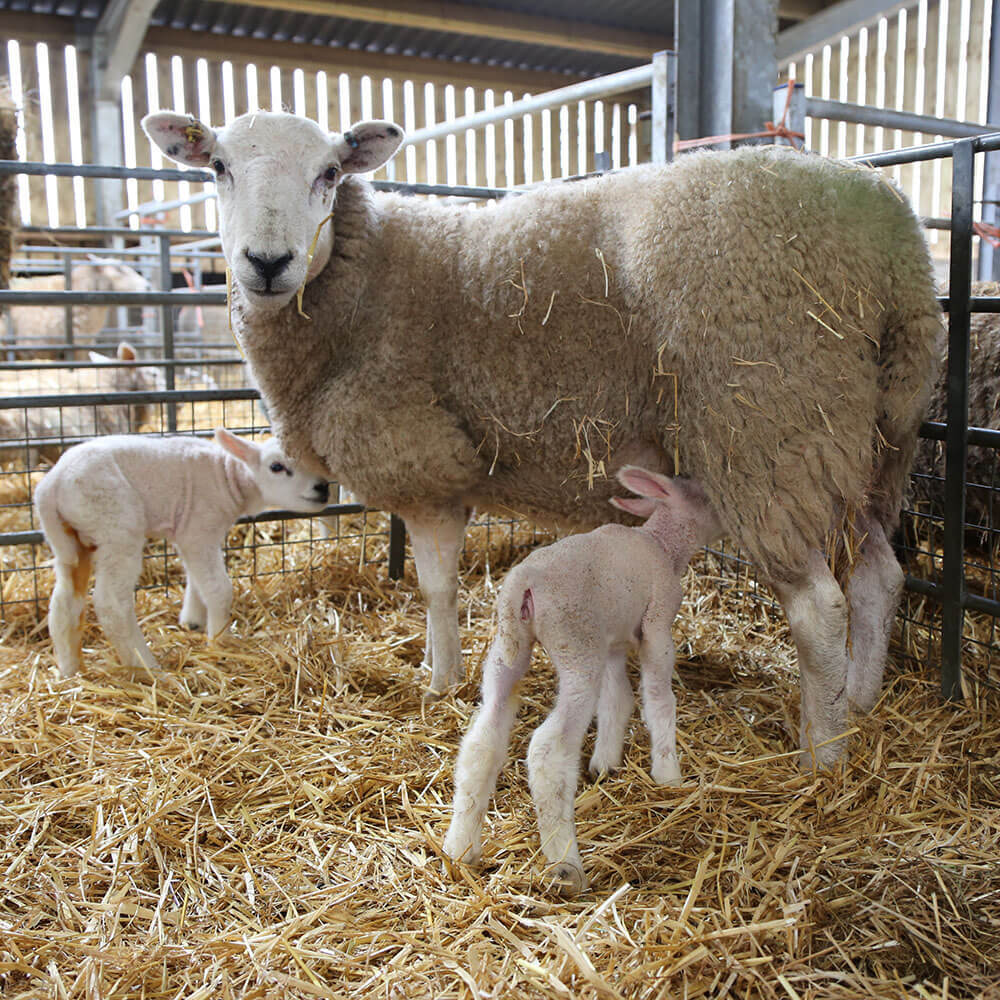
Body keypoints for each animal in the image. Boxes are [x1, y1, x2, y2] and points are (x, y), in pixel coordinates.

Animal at [34, 428, 330, 677]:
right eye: (276, 466)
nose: (323, 488)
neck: (227, 475)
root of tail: (51, 486)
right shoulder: (198, 530)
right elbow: (218, 589)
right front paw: (219, 641)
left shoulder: (190, 535)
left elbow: (196, 580)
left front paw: (192, 621)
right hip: (115, 525)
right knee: (112, 604)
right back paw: (148, 667)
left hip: (71, 540)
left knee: (64, 601)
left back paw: (70, 670)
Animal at [143, 109, 943, 767]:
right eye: (217, 166)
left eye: (330, 173)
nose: (266, 263)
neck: (364, 280)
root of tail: (892, 235)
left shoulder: (424, 462)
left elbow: (436, 588)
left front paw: (439, 680)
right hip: (871, 438)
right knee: (878, 577)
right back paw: (858, 702)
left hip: (769, 422)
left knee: (820, 608)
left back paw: (823, 754)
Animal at [443, 466, 721, 893]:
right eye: (704, 496)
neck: (662, 542)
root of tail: (524, 582)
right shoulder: (658, 621)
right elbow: (658, 697)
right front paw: (668, 774)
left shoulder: (612, 642)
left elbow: (618, 700)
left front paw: (606, 763)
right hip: (576, 645)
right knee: (548, 749)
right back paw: (566, 867)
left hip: (509, 646)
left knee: (482, 737)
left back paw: (461, 848)